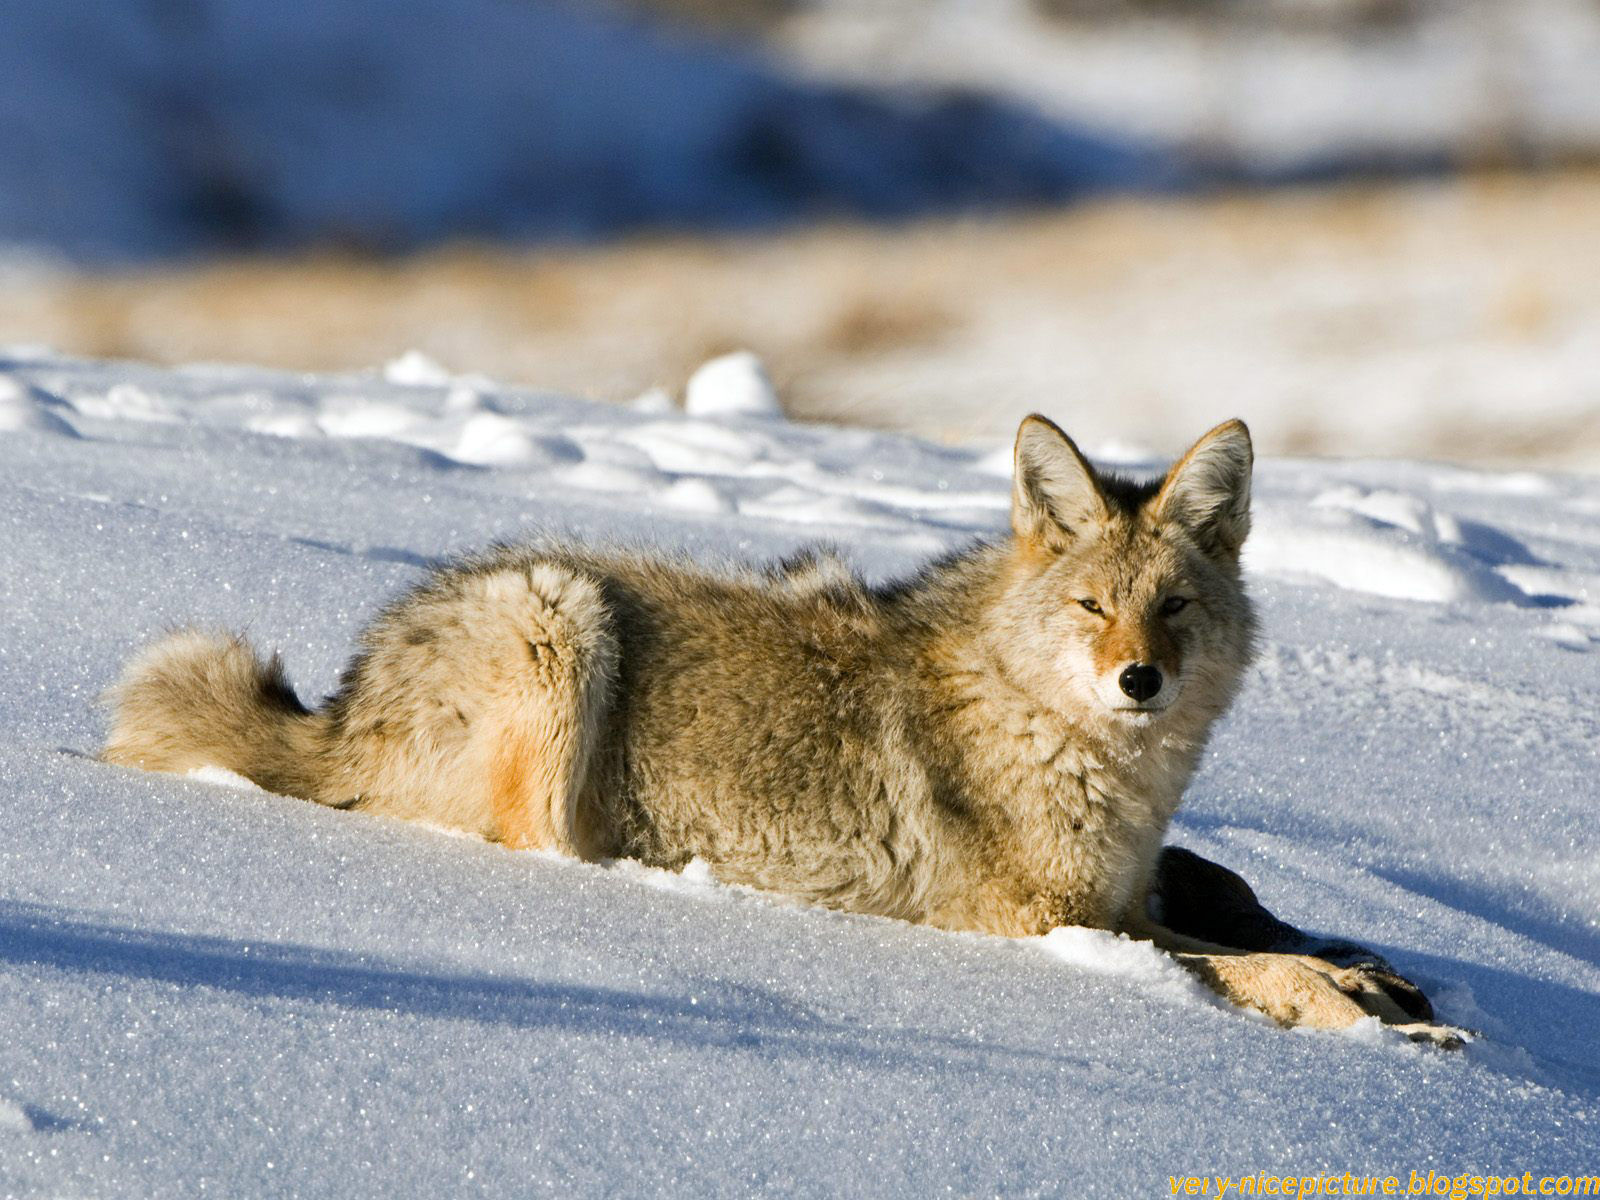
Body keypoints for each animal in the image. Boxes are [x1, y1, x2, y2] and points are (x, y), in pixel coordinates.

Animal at [103, 414, 1464, 1045]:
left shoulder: (1127, 896)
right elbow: (1247, 970)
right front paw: (1373, 1019)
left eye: (1173, 608)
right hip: (560, 616)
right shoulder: (1044, 926)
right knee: (534, 845)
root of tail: (349, 692)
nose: (1139, 682)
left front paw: (1379, 979)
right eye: (1092, 607)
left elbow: (1255, 928)